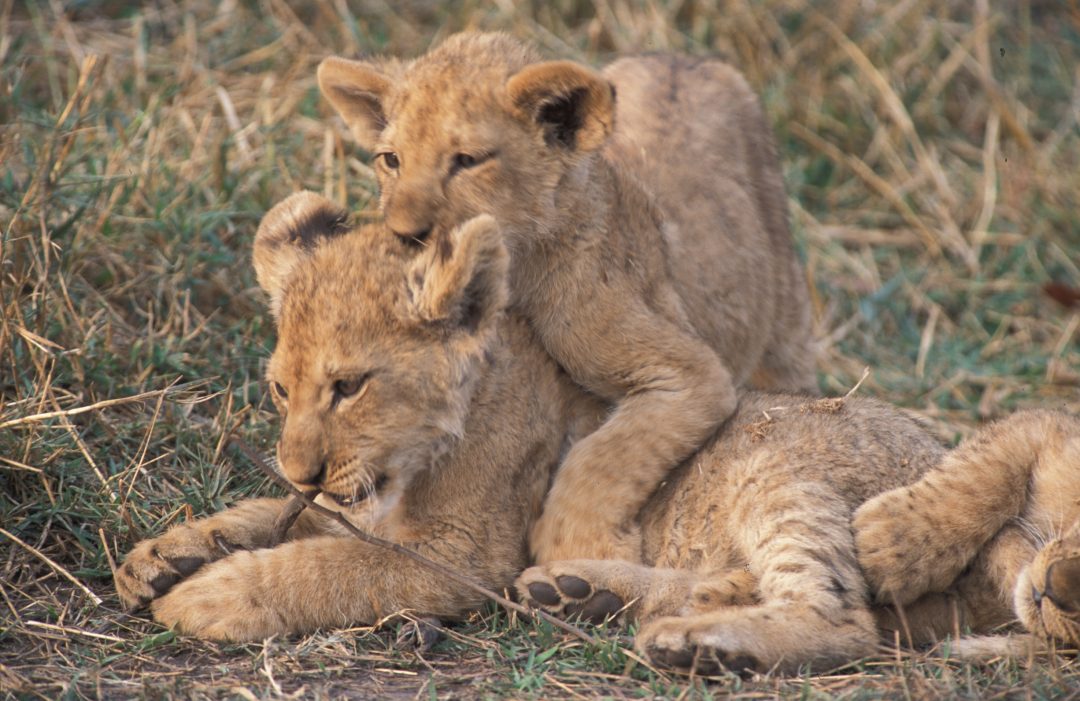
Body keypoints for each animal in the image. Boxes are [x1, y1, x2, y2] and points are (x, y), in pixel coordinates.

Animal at [114, 193, 1080, 673]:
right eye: (281, 387)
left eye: (349, 385)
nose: (302, 467)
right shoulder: (354, 503)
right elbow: (266, 516)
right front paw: (164, 555)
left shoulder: (465, 554)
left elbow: (329, 565)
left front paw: (213, 596)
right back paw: (587, 594)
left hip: (782, 468)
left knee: (843, 619)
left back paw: (698, 645)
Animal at [316, 34, 817, 564]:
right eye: (391, 159)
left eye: (468, 160)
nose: (404, 233)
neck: (517, 266)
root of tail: (682, 56)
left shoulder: (692, 374)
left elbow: (604, 457)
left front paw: (579, 552)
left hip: (786, 322)